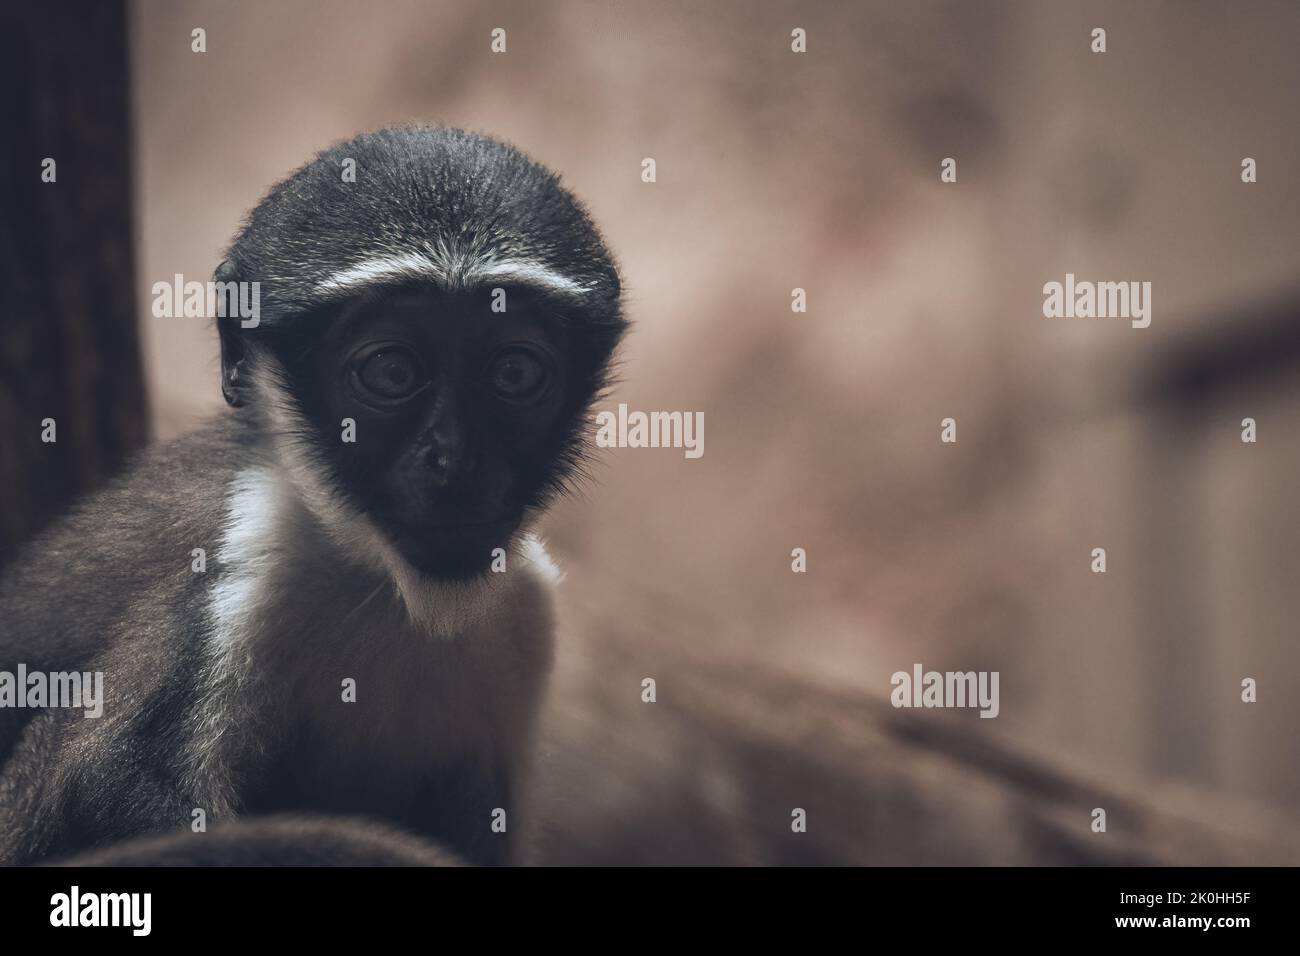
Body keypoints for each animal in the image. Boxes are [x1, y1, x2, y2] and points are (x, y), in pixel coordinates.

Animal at [0, 126, 626, 865]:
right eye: (391, 371)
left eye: (516, 373)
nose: (456, 458)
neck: (388, 587)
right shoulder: (247, 566)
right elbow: (105, 778)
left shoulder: (526, 611)